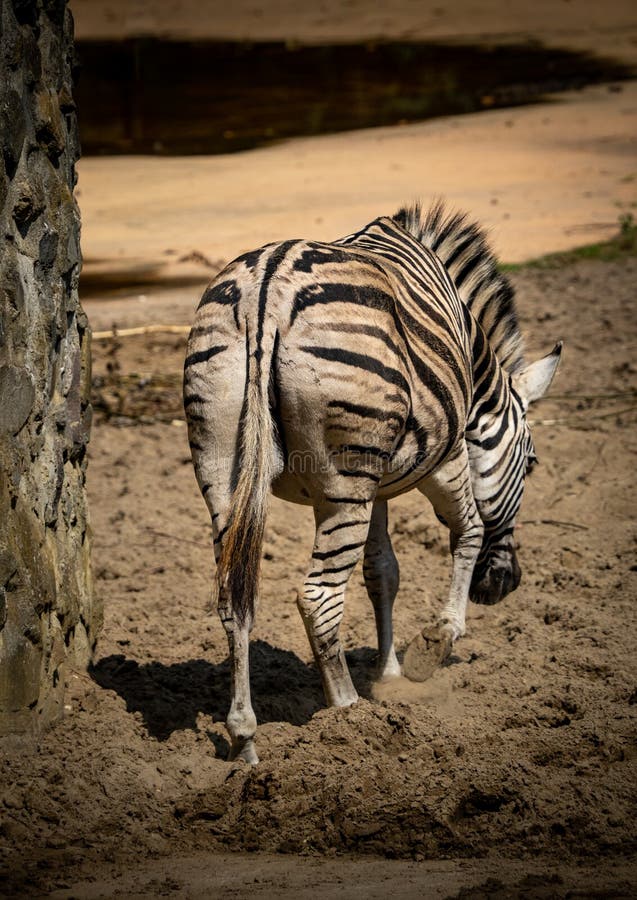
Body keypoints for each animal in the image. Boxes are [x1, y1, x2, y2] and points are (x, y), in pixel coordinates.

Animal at [184, 201, 561, 763]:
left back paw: (245, 739)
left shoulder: (377, 487)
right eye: (532, 462)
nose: (503, 587)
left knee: (235, 597)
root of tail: (265, 291)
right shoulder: (447, 456)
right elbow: (470, 531)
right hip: (345, 485)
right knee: (318, 598)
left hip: (226, 470)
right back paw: (348, 713)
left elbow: (383, 571)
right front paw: (436, 643)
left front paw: (390, 674)